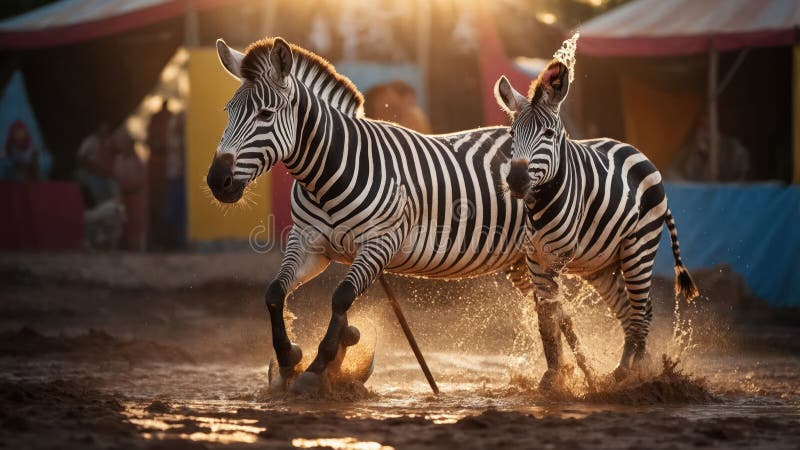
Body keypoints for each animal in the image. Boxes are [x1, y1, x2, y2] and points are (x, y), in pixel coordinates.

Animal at [207, 37, 535, 395]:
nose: (217, 181)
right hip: (521, 263)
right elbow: (274, 293)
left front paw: (319, 367)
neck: (327, 175)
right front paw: (290, 358)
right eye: (227, 111)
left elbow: (341, 298)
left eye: (265, 114)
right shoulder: (309, 244)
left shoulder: (380, 244)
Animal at [494, 34, 699, 387]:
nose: (517, 180)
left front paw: (562, 378)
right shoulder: (534, 259)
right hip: (602, 264)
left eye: (548, 134)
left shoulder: (556, 258)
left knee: (640, 310)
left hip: (638, 249)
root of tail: (639, 153)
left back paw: (629, 374)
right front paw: (553, 377)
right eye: (511, 134)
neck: (540, 205)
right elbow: (546, 319)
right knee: (632, 309)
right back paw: (632, 367)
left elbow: (553, 313)